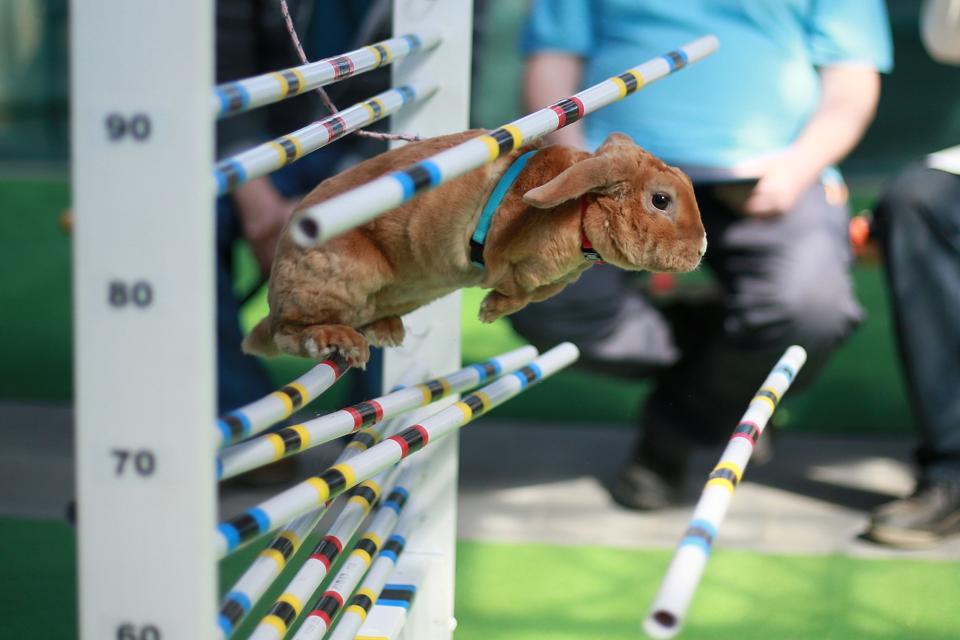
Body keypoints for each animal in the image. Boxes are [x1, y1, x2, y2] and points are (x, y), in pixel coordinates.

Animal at [243, 130, 707, 367]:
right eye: (661, 200)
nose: (702, 249)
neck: (578, 210)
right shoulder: (507, 260)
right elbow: (514, 288)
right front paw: (488, 310)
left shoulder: (549, 281)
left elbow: (530, 295)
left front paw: (490, 310)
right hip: (339, 277)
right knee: (289, 332)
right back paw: (338, 342)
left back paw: (386, 331)